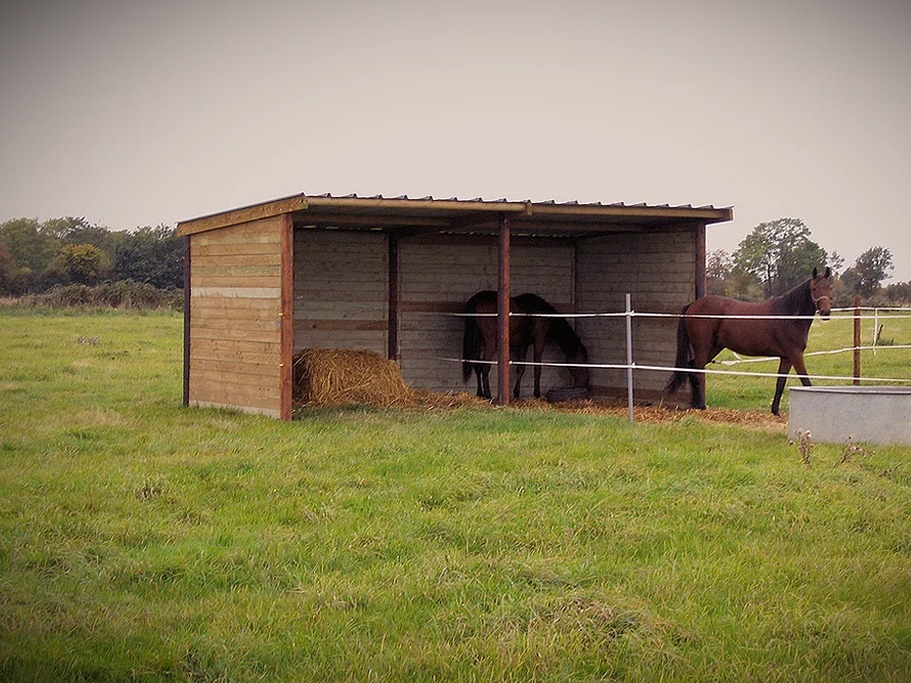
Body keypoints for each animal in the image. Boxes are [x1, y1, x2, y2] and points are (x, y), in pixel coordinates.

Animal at [464, 290, 592, 400]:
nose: (585, 383)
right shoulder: (539, 340)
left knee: (477, 365)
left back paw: (480, 393)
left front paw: (516, 393)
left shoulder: (523, 345)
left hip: (478, 342)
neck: (542, 314)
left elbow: (521, 368)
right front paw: (537, 393)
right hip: (491, 343)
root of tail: (478, 298)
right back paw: (487, 394)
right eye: (582, 360)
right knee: (485, 367)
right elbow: (537, 367)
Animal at [668, 268, 832, 416]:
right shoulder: (795, 354)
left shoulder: (786, 357)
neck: (789, 316)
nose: (826, 312)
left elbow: (780, 383)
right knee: (698, 371)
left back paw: (697, 404)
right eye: (814, 288)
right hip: (703, 346)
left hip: (714, 347)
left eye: (829, 288)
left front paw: (775, 411)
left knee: (691, 367)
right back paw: (702, 406)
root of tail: (693, 305)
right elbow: (806, 381)